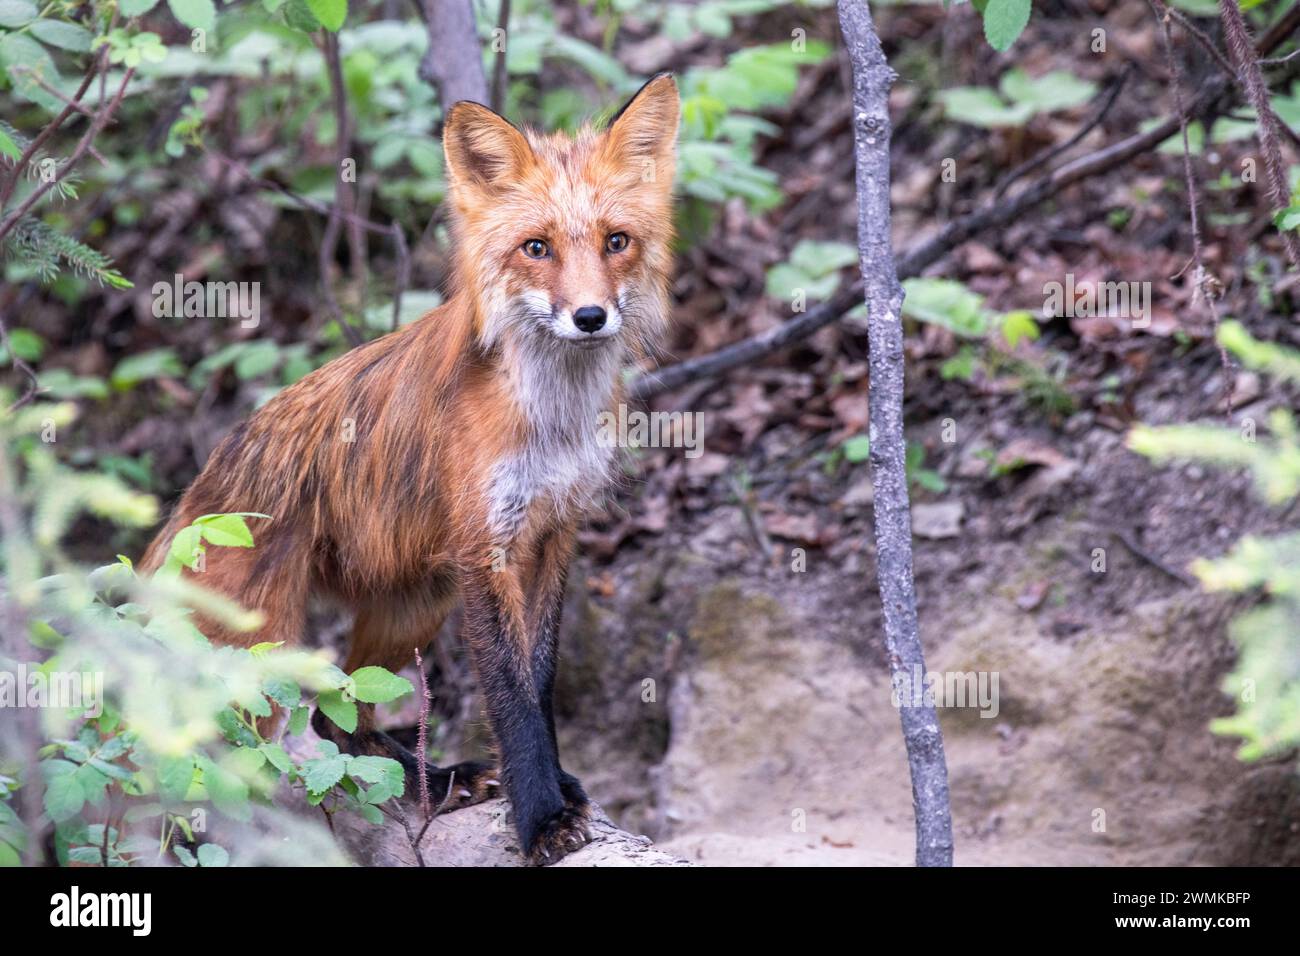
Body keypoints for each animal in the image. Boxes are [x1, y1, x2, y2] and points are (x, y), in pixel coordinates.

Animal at [138, 73, 680, 865]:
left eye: (617, 242)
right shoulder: (484, 549)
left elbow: (541, 682)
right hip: (254, 652)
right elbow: (511, 697)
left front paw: (555, 790)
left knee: (336, 721)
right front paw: (541, 818)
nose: (589, 317)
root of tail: (198, 492)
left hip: (415, 602)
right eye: (537, 247)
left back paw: (437, 781)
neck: (549, 419)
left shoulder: (552, 533)